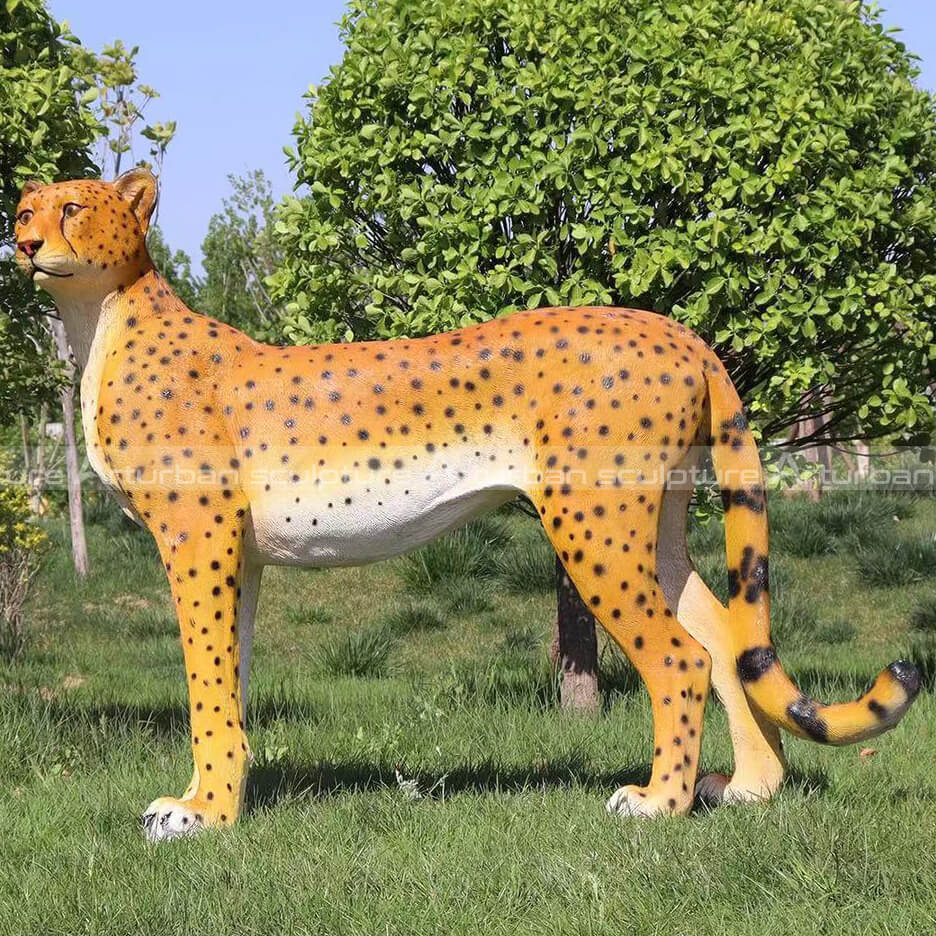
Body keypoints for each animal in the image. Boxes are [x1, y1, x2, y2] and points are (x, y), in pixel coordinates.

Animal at [14, 168, 921, 842]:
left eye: (73, 207)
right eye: (25, 207)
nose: (23, 243)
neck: (103, 317)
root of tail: (675, 326)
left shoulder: (198, 539)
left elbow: (204, 677)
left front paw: (203, 815)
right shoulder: (236, 551)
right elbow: (225, 677)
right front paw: (217, 796)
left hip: (590, 523)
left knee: (681, 656)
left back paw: (660, 803)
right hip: (652, 525)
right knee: (728, 638)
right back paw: (753, 789)